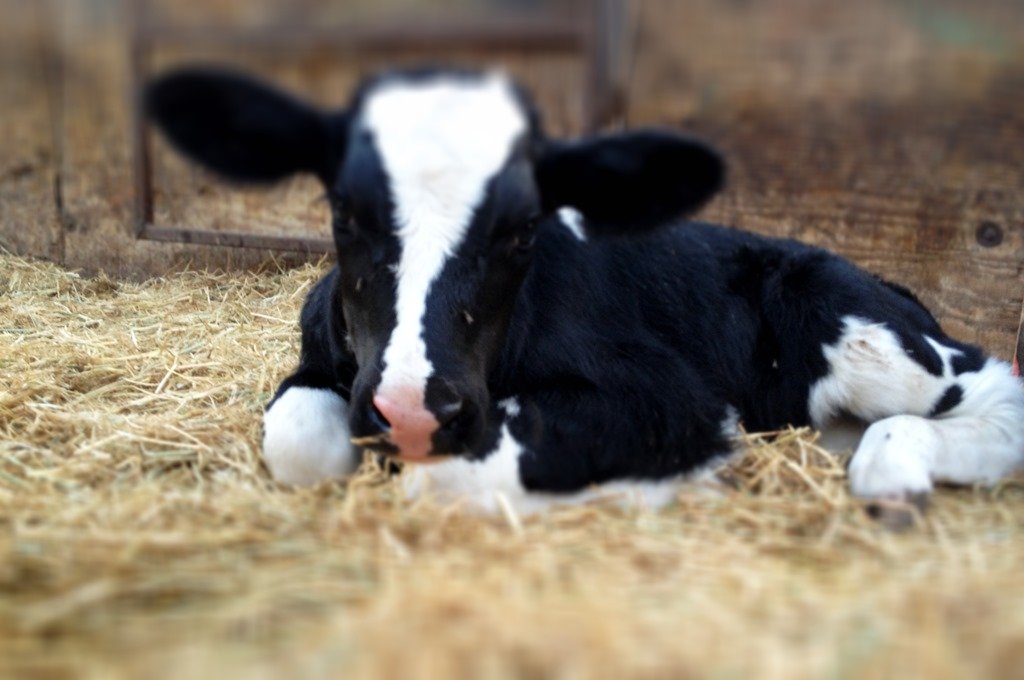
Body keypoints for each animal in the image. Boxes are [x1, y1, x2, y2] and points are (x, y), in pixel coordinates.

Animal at [146, 66, 1024, 515]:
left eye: (523, 229)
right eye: (342, 210)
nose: (414, 410)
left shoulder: (668, 396)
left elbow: (450, 475)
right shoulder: (325, 362)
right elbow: (299, 440)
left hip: (848, 320)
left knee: (991, 383)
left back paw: (895, 470)